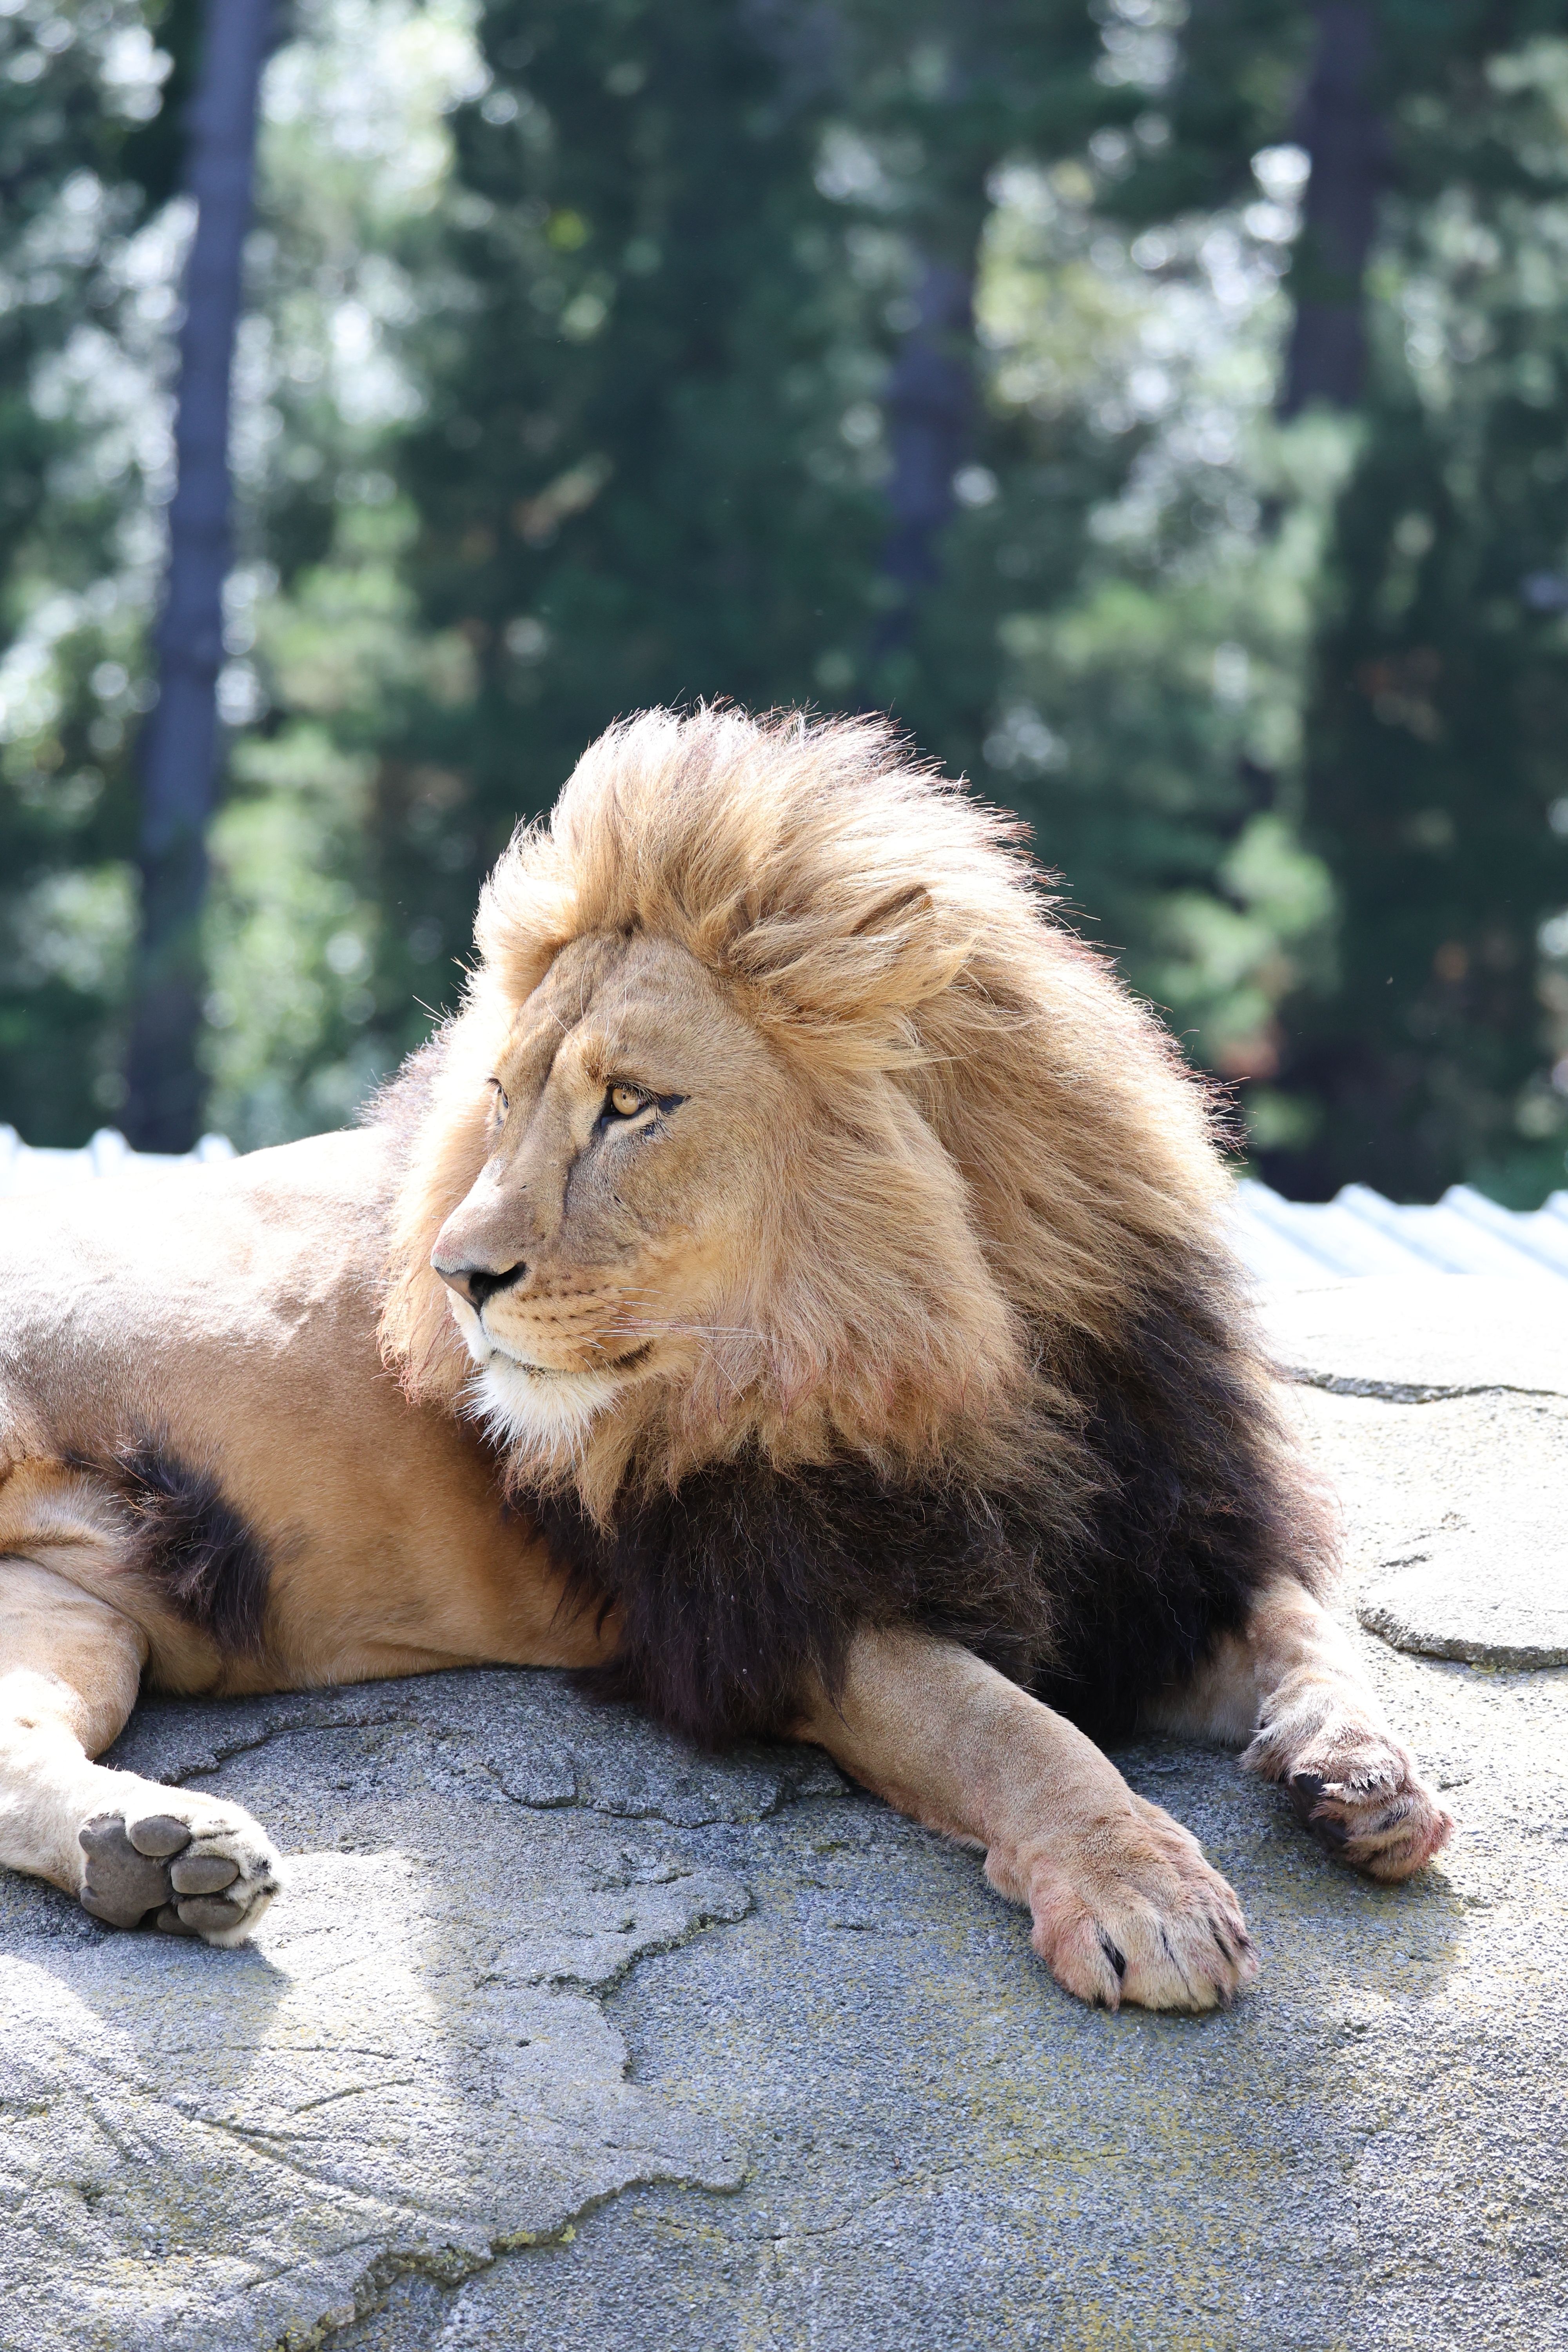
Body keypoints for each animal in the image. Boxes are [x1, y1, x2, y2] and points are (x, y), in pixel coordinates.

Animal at [0, 707, 1450, 2007]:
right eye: (500, 1102)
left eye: (631, 1106)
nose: (454, 1277)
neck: (950, 1367)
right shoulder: (782, 1609)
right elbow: (1012, 1730)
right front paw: (1144, 1896)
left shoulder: (1158, 1545)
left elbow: (1309, 1628)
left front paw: (1369, 1777)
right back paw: (169, 1858)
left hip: (73, 1614)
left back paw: (154, 1860)